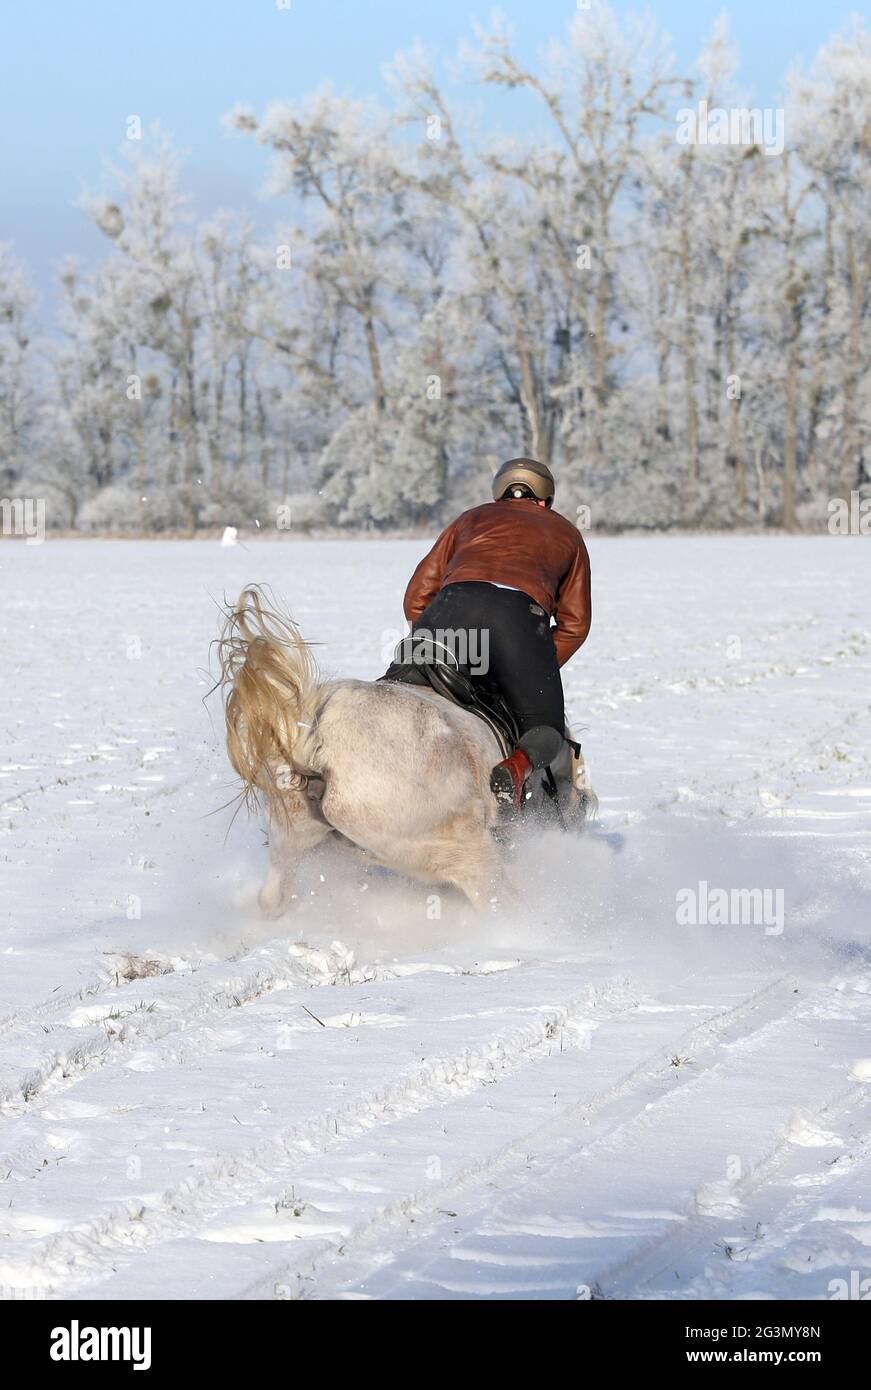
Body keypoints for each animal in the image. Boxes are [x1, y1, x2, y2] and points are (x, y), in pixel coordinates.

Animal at [216, 586, 593, 916]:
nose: (581, 813)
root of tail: (319, 738)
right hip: (466, 850)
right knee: (500, 902)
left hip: (292, 837)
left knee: (272, 896)